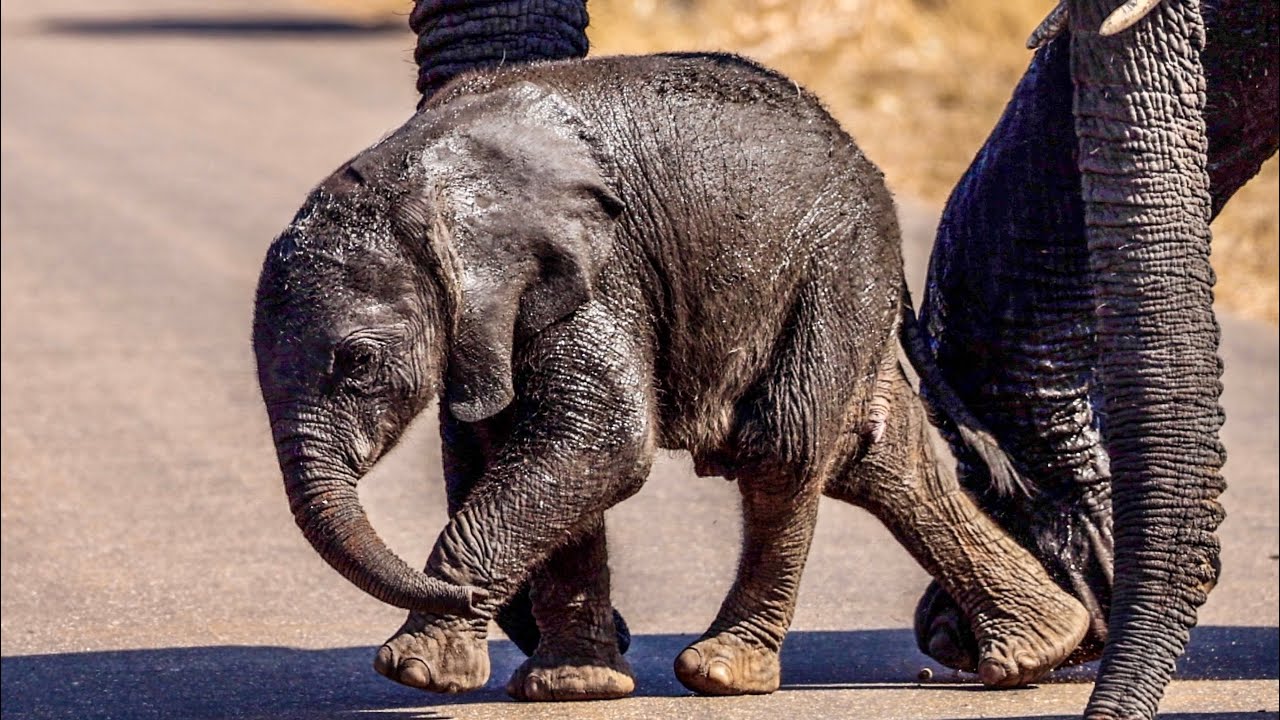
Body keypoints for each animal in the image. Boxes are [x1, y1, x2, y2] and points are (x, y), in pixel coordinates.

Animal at [253, 52, 1092, 700]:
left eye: (358, 362)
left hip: (834, 265)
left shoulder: (596, 270)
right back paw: (1042, 647)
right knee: (878, 462)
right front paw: (574, 689)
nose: (463, 591)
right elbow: (533, 447)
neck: (421, 178)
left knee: (785, 448)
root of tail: (863, 155)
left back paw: (724, 672)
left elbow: (600, 441)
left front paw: (416, 673)